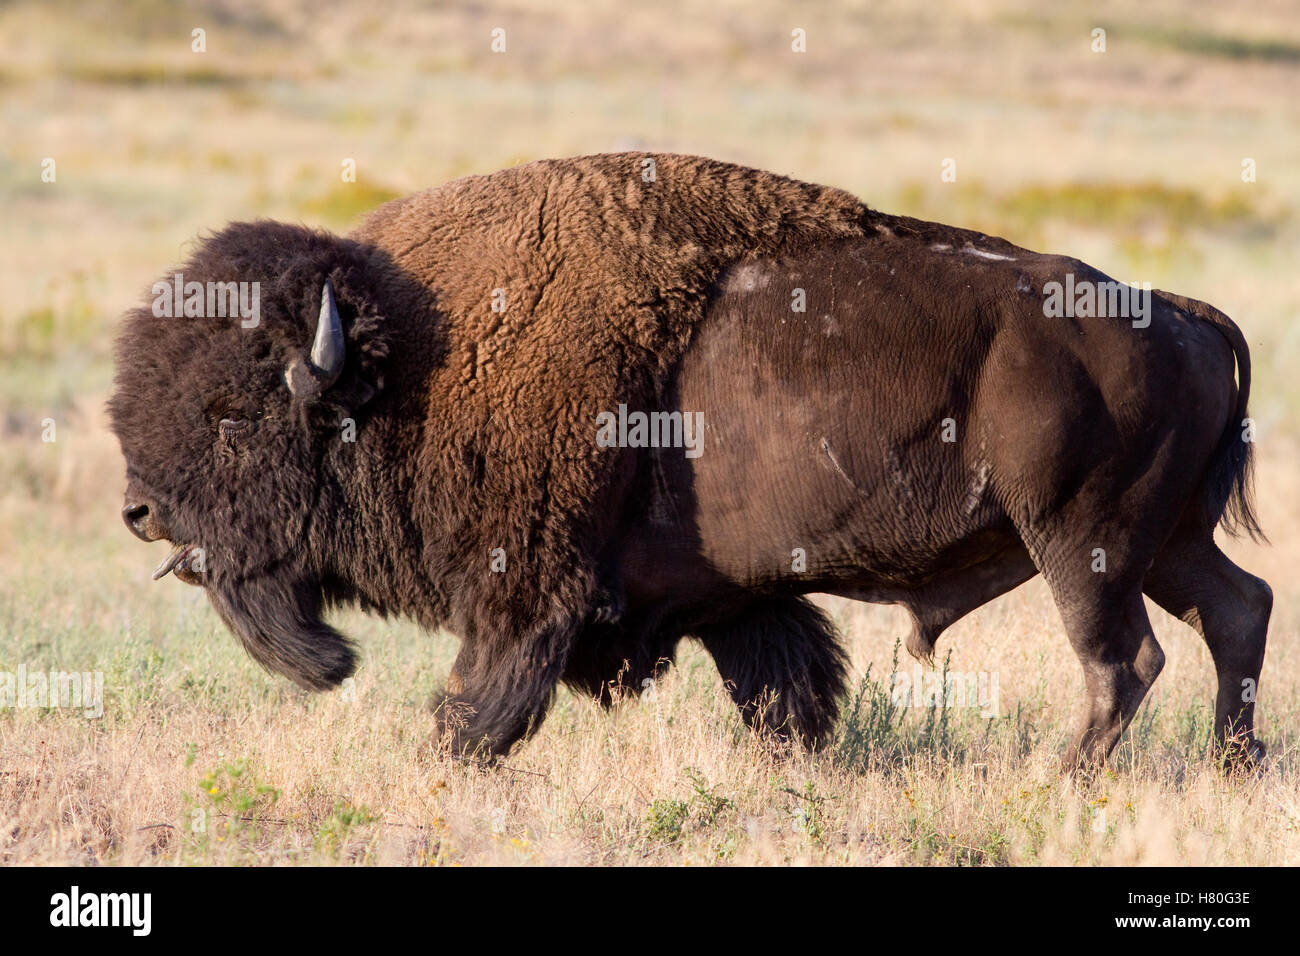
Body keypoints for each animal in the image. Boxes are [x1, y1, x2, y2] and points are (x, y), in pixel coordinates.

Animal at [109, 152, 1270, 771]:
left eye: (231, 415)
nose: (141, 512)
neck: (414, 359)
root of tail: (1184, 312)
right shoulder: (738, 602)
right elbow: (784, 691)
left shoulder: (524, 595)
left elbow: (478, 705)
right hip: (1163, 539)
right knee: (1236, 609)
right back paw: (1234, 767)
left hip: (1084, 541)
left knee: (1123, 660)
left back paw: (1062, 778)